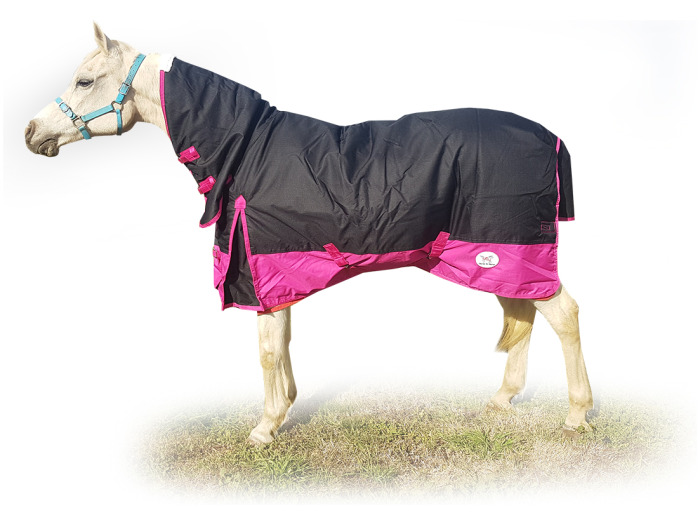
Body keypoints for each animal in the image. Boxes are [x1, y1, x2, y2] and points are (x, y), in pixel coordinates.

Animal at [24, 23, 593, 445]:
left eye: (84, 81)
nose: (31, 133)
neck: (246, 151)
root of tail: (550, 135)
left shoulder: (258, 269)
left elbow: (266, 350)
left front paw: (263, 428)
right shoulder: (278, 272)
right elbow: (283, 342)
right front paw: (285, 411)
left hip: (511, 248)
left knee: (563, 313)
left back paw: (576, 414)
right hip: (497, 257)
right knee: (521, 311)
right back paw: (502, 400)